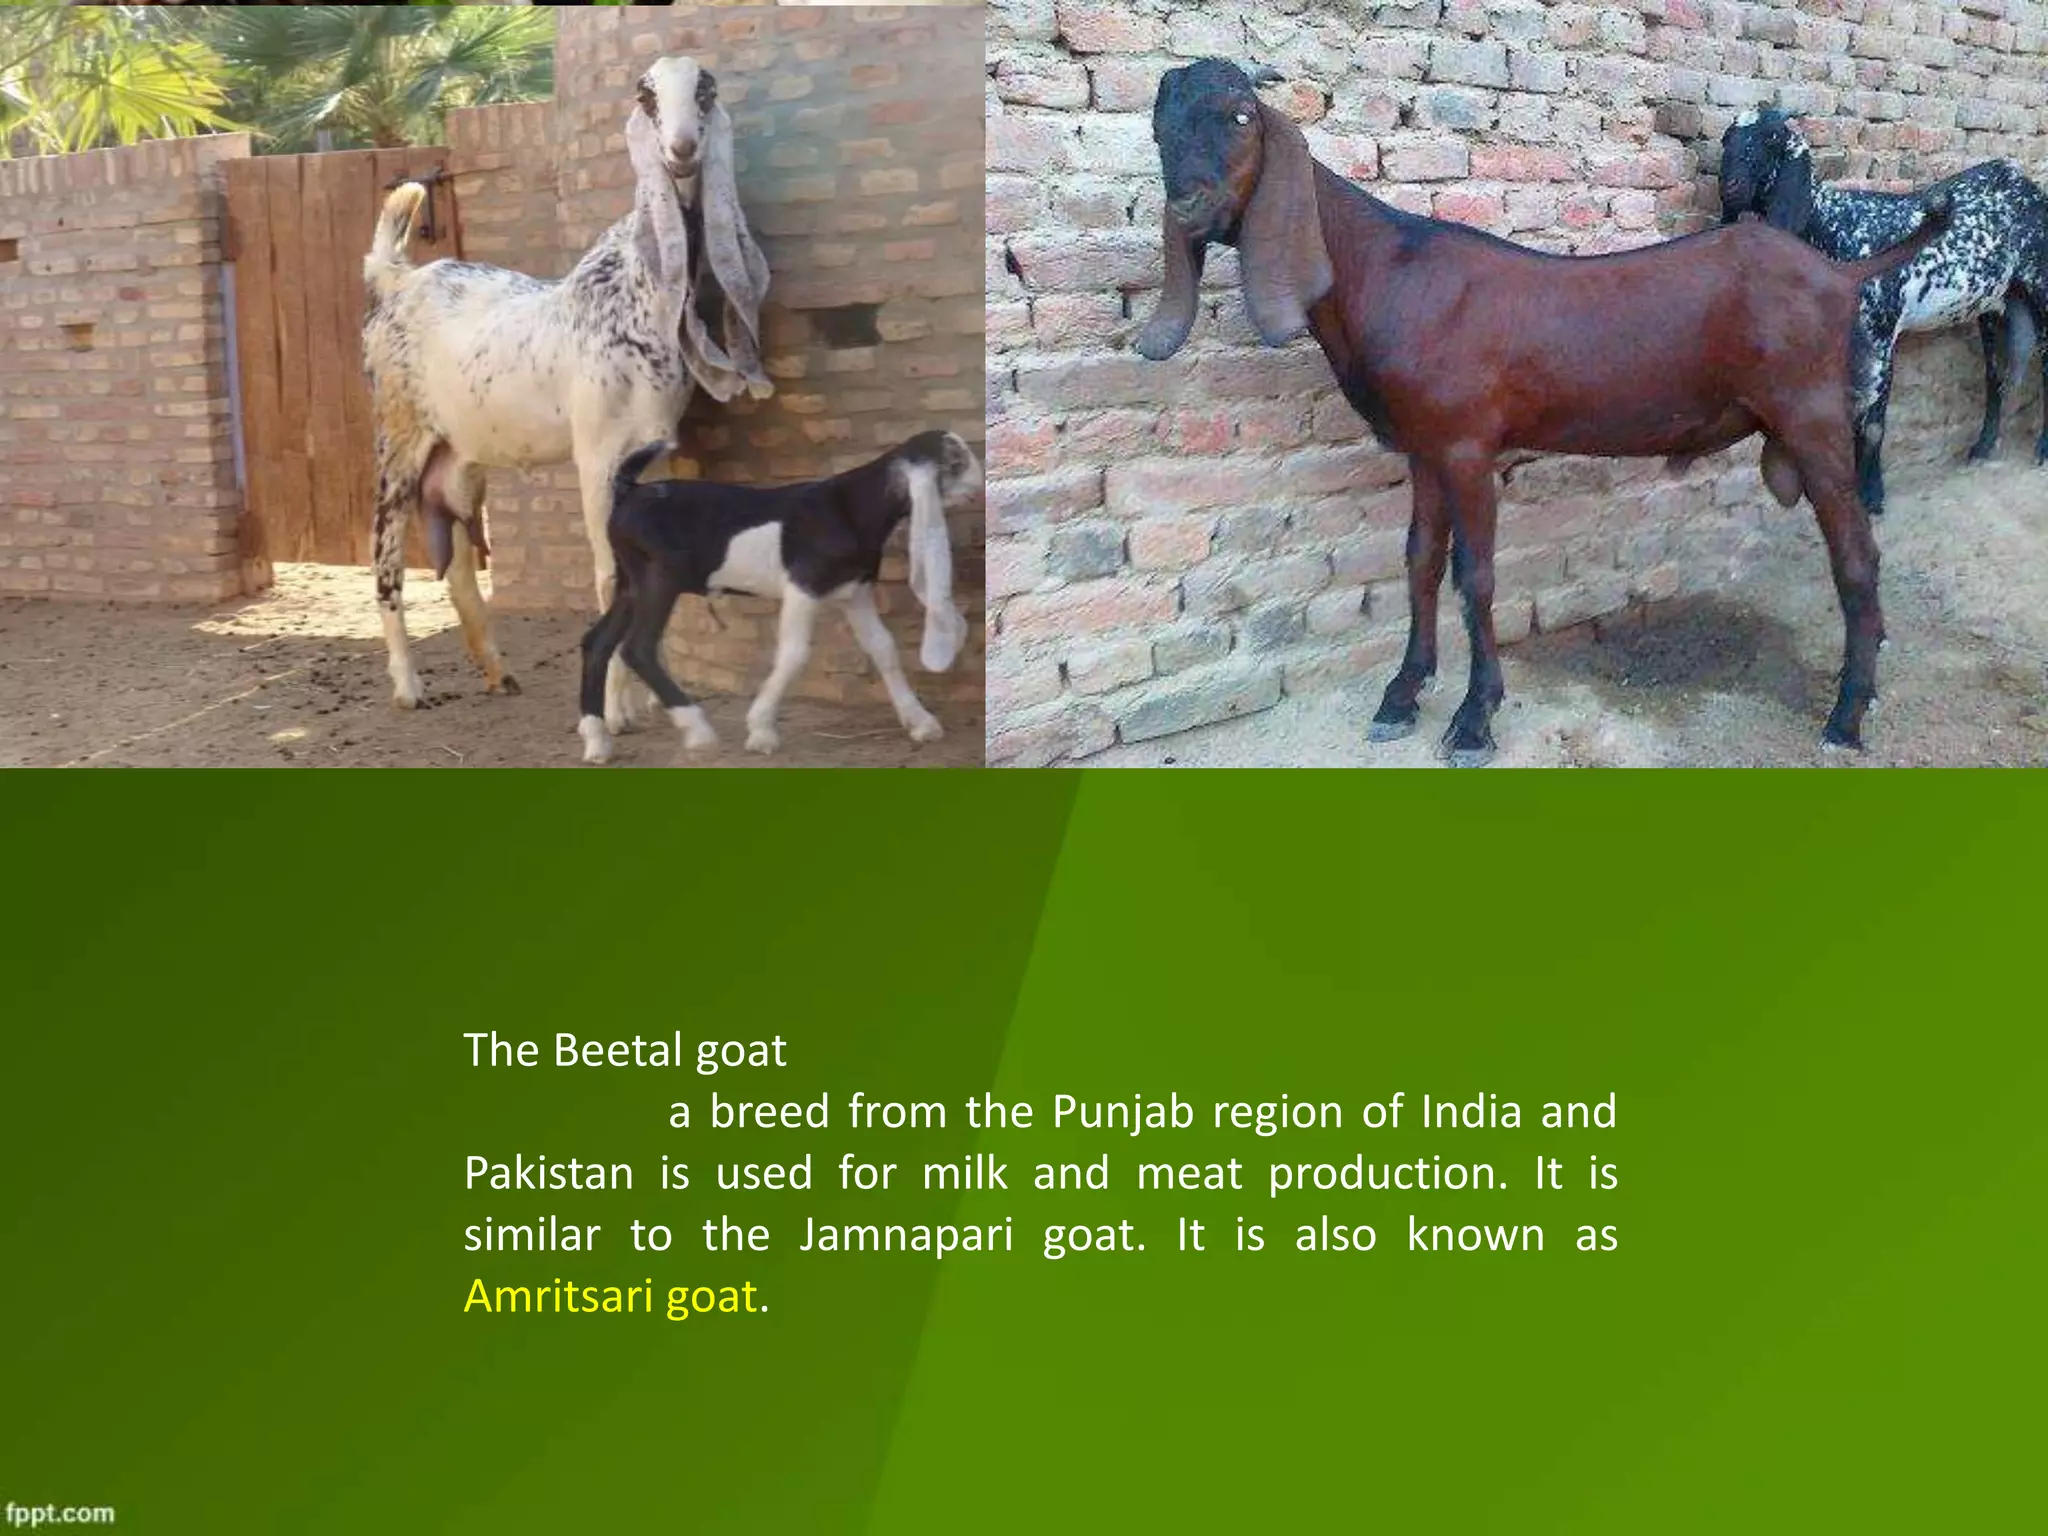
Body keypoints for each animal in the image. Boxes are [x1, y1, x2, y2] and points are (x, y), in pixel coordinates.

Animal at [359, 53, 770, 721]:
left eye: (706, 92)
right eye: (645, 96)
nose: (682, 150)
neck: (634, 293)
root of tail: (397, 281)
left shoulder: (650, 447)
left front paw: (642, 696)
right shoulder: (596, 452)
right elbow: (607, 575)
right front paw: (616, 709)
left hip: (460, 453)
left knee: (459, 559)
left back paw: (498, 672)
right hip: (397, 434)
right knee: (386, 554)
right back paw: (407, 686)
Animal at [574, 431, 980, 766]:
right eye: (955, 463)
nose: (977, 487)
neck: (850, 506)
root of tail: (628, 491)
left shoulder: (855, 591)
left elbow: (884, 649)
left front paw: (921, 723)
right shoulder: (803, 585)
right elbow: (794, 653)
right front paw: (761, 730)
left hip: (631, 581)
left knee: (597, 641)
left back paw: (597, 741)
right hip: (660, 578)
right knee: (638, 647)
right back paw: (698, 730)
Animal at [1138, 60, 1952, 764]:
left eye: (1241, 116)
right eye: (1157, 125)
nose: (1189, 204)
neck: (1390, 273)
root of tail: (1839, 275)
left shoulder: (1467, 447)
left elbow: (1476, 576)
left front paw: (1474, 719)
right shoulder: (1426, 447)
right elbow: (1420, 560)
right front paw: (1402, 695)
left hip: (1812, 419)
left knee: (1857, 555)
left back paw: (1846, 714)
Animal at [1720, 107, 2048, 515]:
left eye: (1772, 138)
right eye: (1727, 138)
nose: (1730, 186)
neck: (1835, 225)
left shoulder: (1880, 331)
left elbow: (1873, 424)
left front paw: (1872, 495)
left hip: (2041, 286)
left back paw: (2041, 449)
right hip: (1994, 306)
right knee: (1996, 375)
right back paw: (1982, 448)